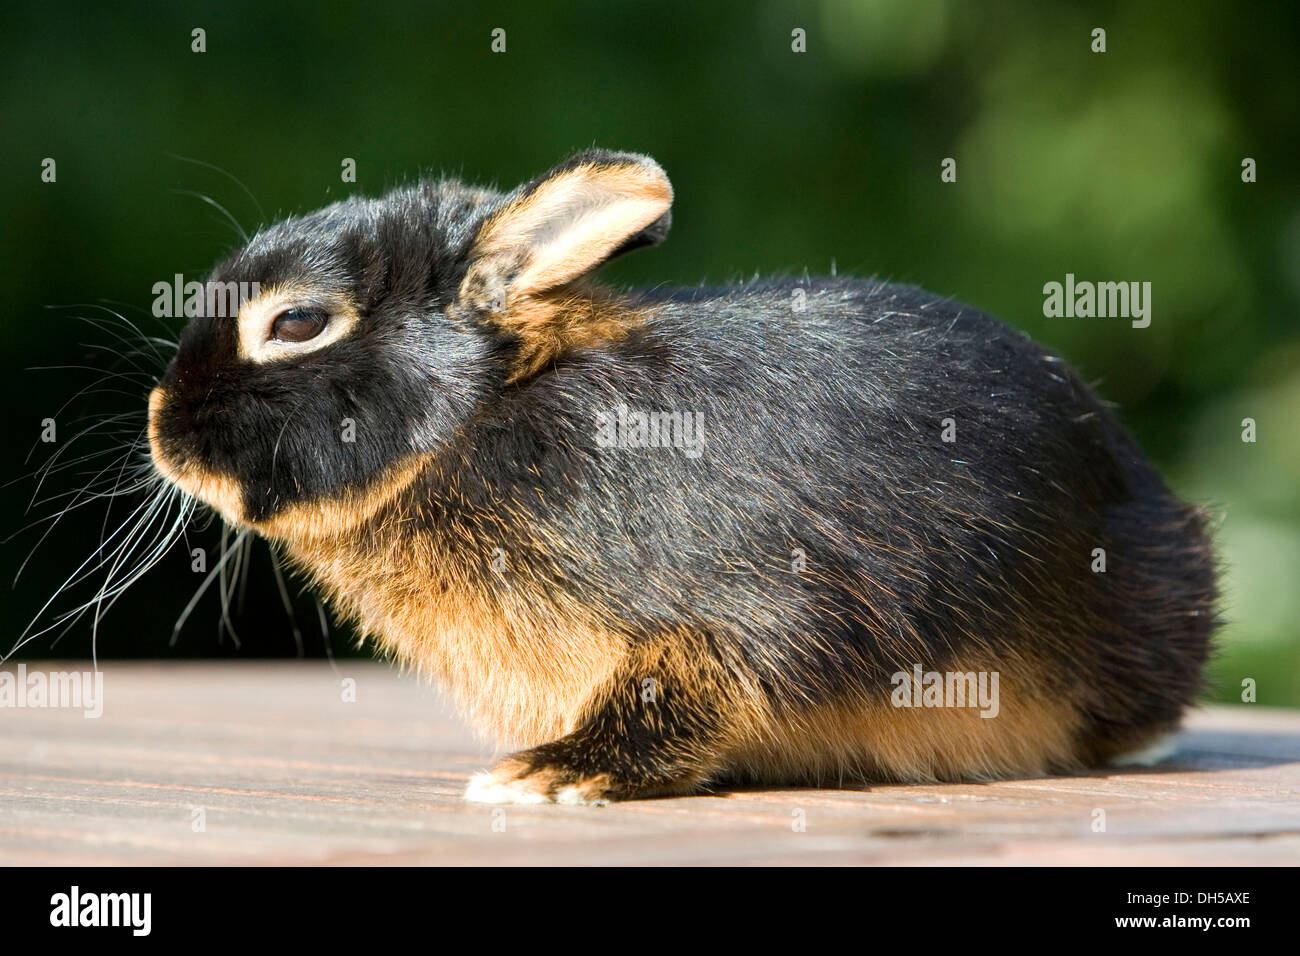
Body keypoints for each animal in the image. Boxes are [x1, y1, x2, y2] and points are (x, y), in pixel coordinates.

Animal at [146, 148, 1218, 804]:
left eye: (296, 322)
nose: (163, 428)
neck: (485, 420)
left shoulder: (732, 614)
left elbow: (693, 687)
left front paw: (547, 778)